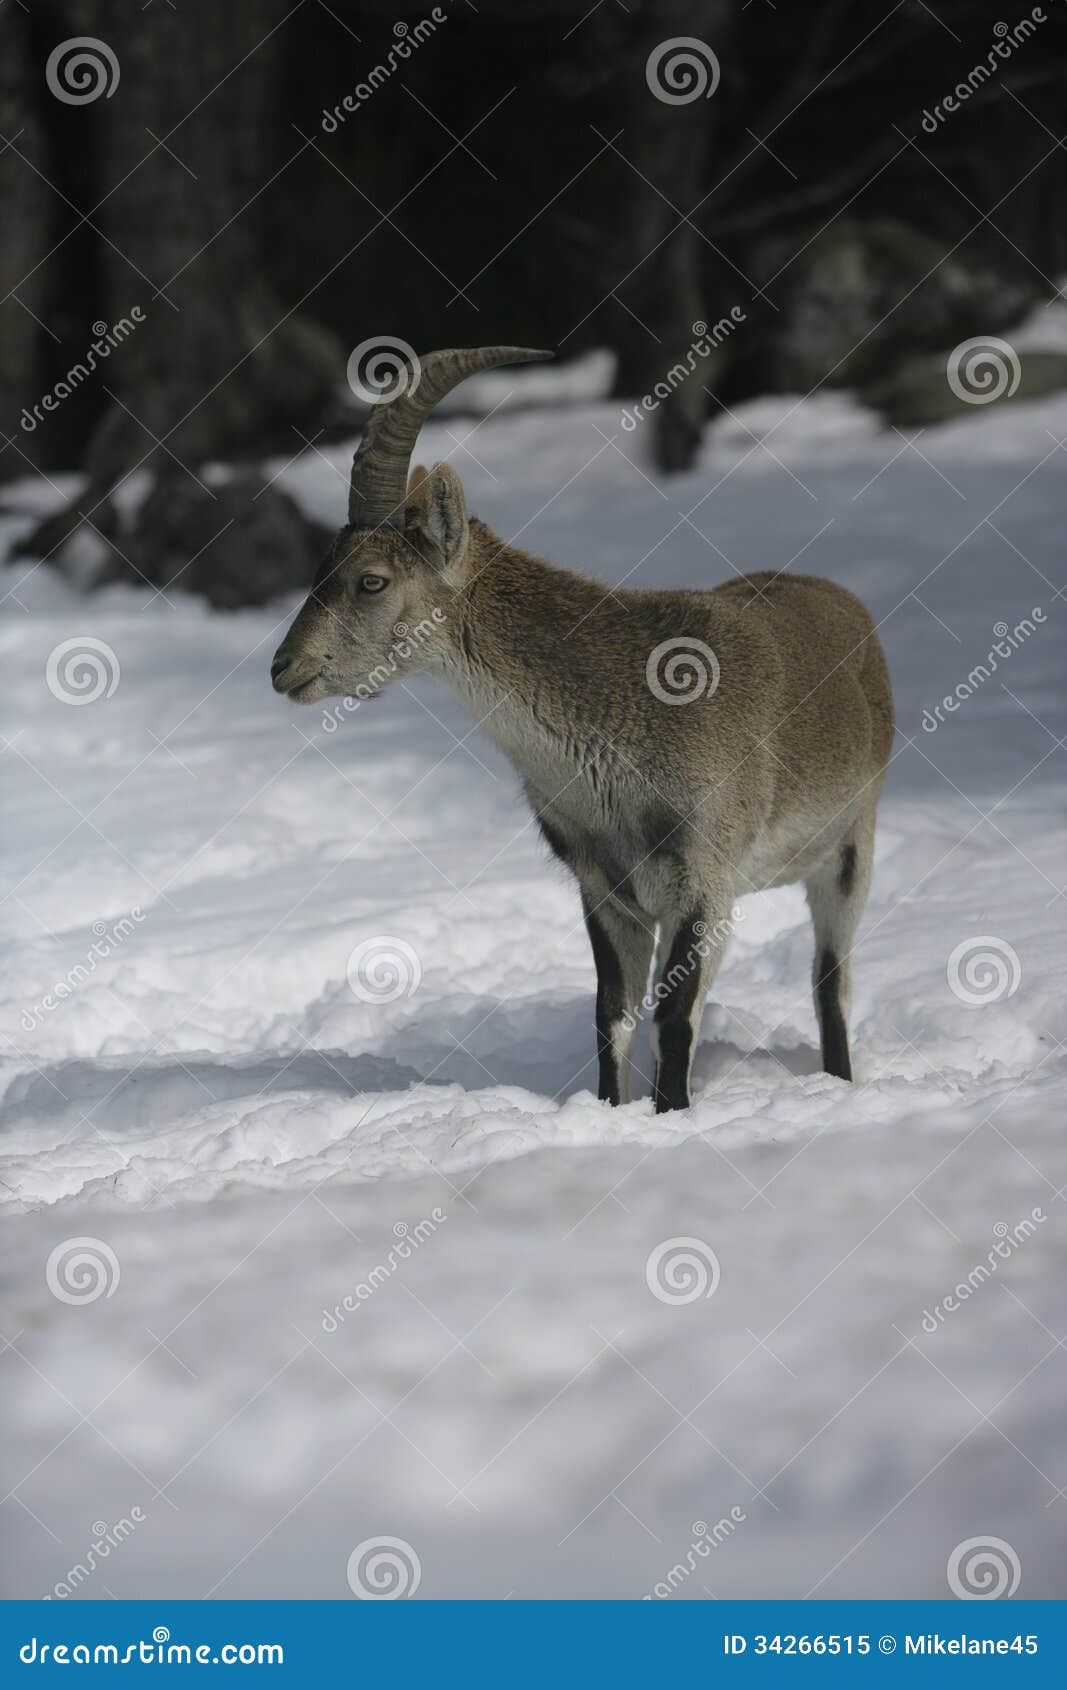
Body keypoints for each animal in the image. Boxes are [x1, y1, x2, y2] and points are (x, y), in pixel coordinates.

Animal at [272, 347, 894, 1112]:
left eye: (370, 580)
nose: (284, 668)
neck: (616, 734)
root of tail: (845, 607)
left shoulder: (705, 881)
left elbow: (673, 1019)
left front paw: (673, 1114)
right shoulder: (604, 889)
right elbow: (613, 1015)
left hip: (849, 851)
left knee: (830, 983)